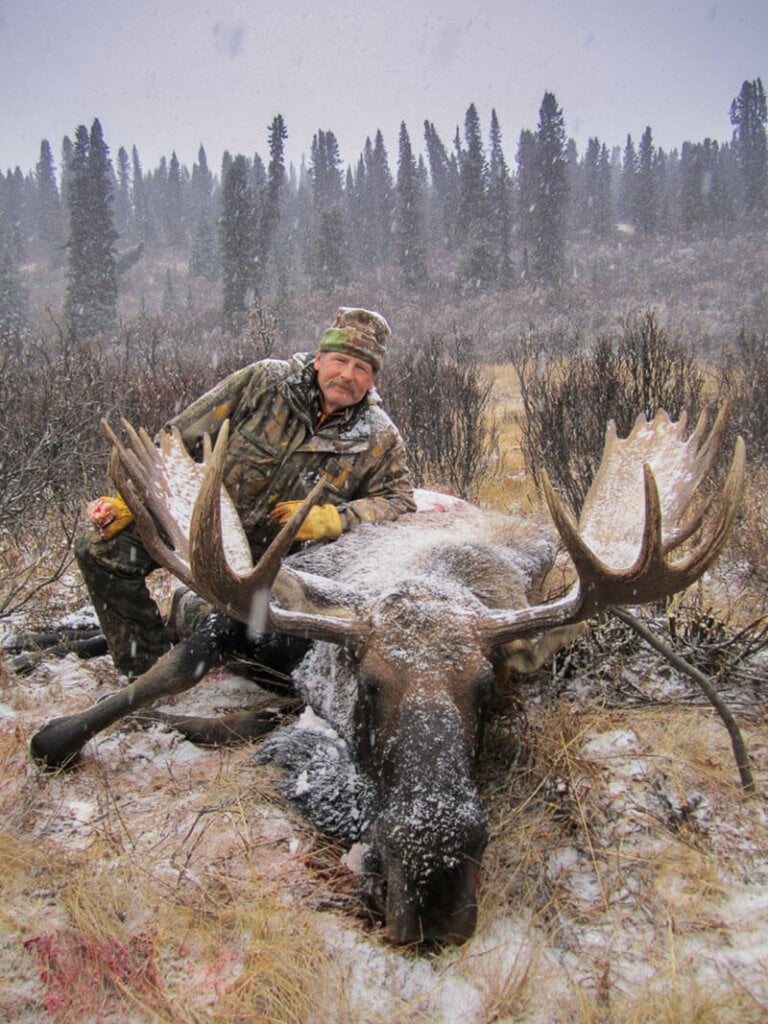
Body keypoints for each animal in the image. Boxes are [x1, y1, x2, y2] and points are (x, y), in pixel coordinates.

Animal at [30, 408, 745, 945]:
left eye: (487, 689)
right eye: (369, 681)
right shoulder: (239, 616)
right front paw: (76, 727)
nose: (435, 879)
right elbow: (145, 687)